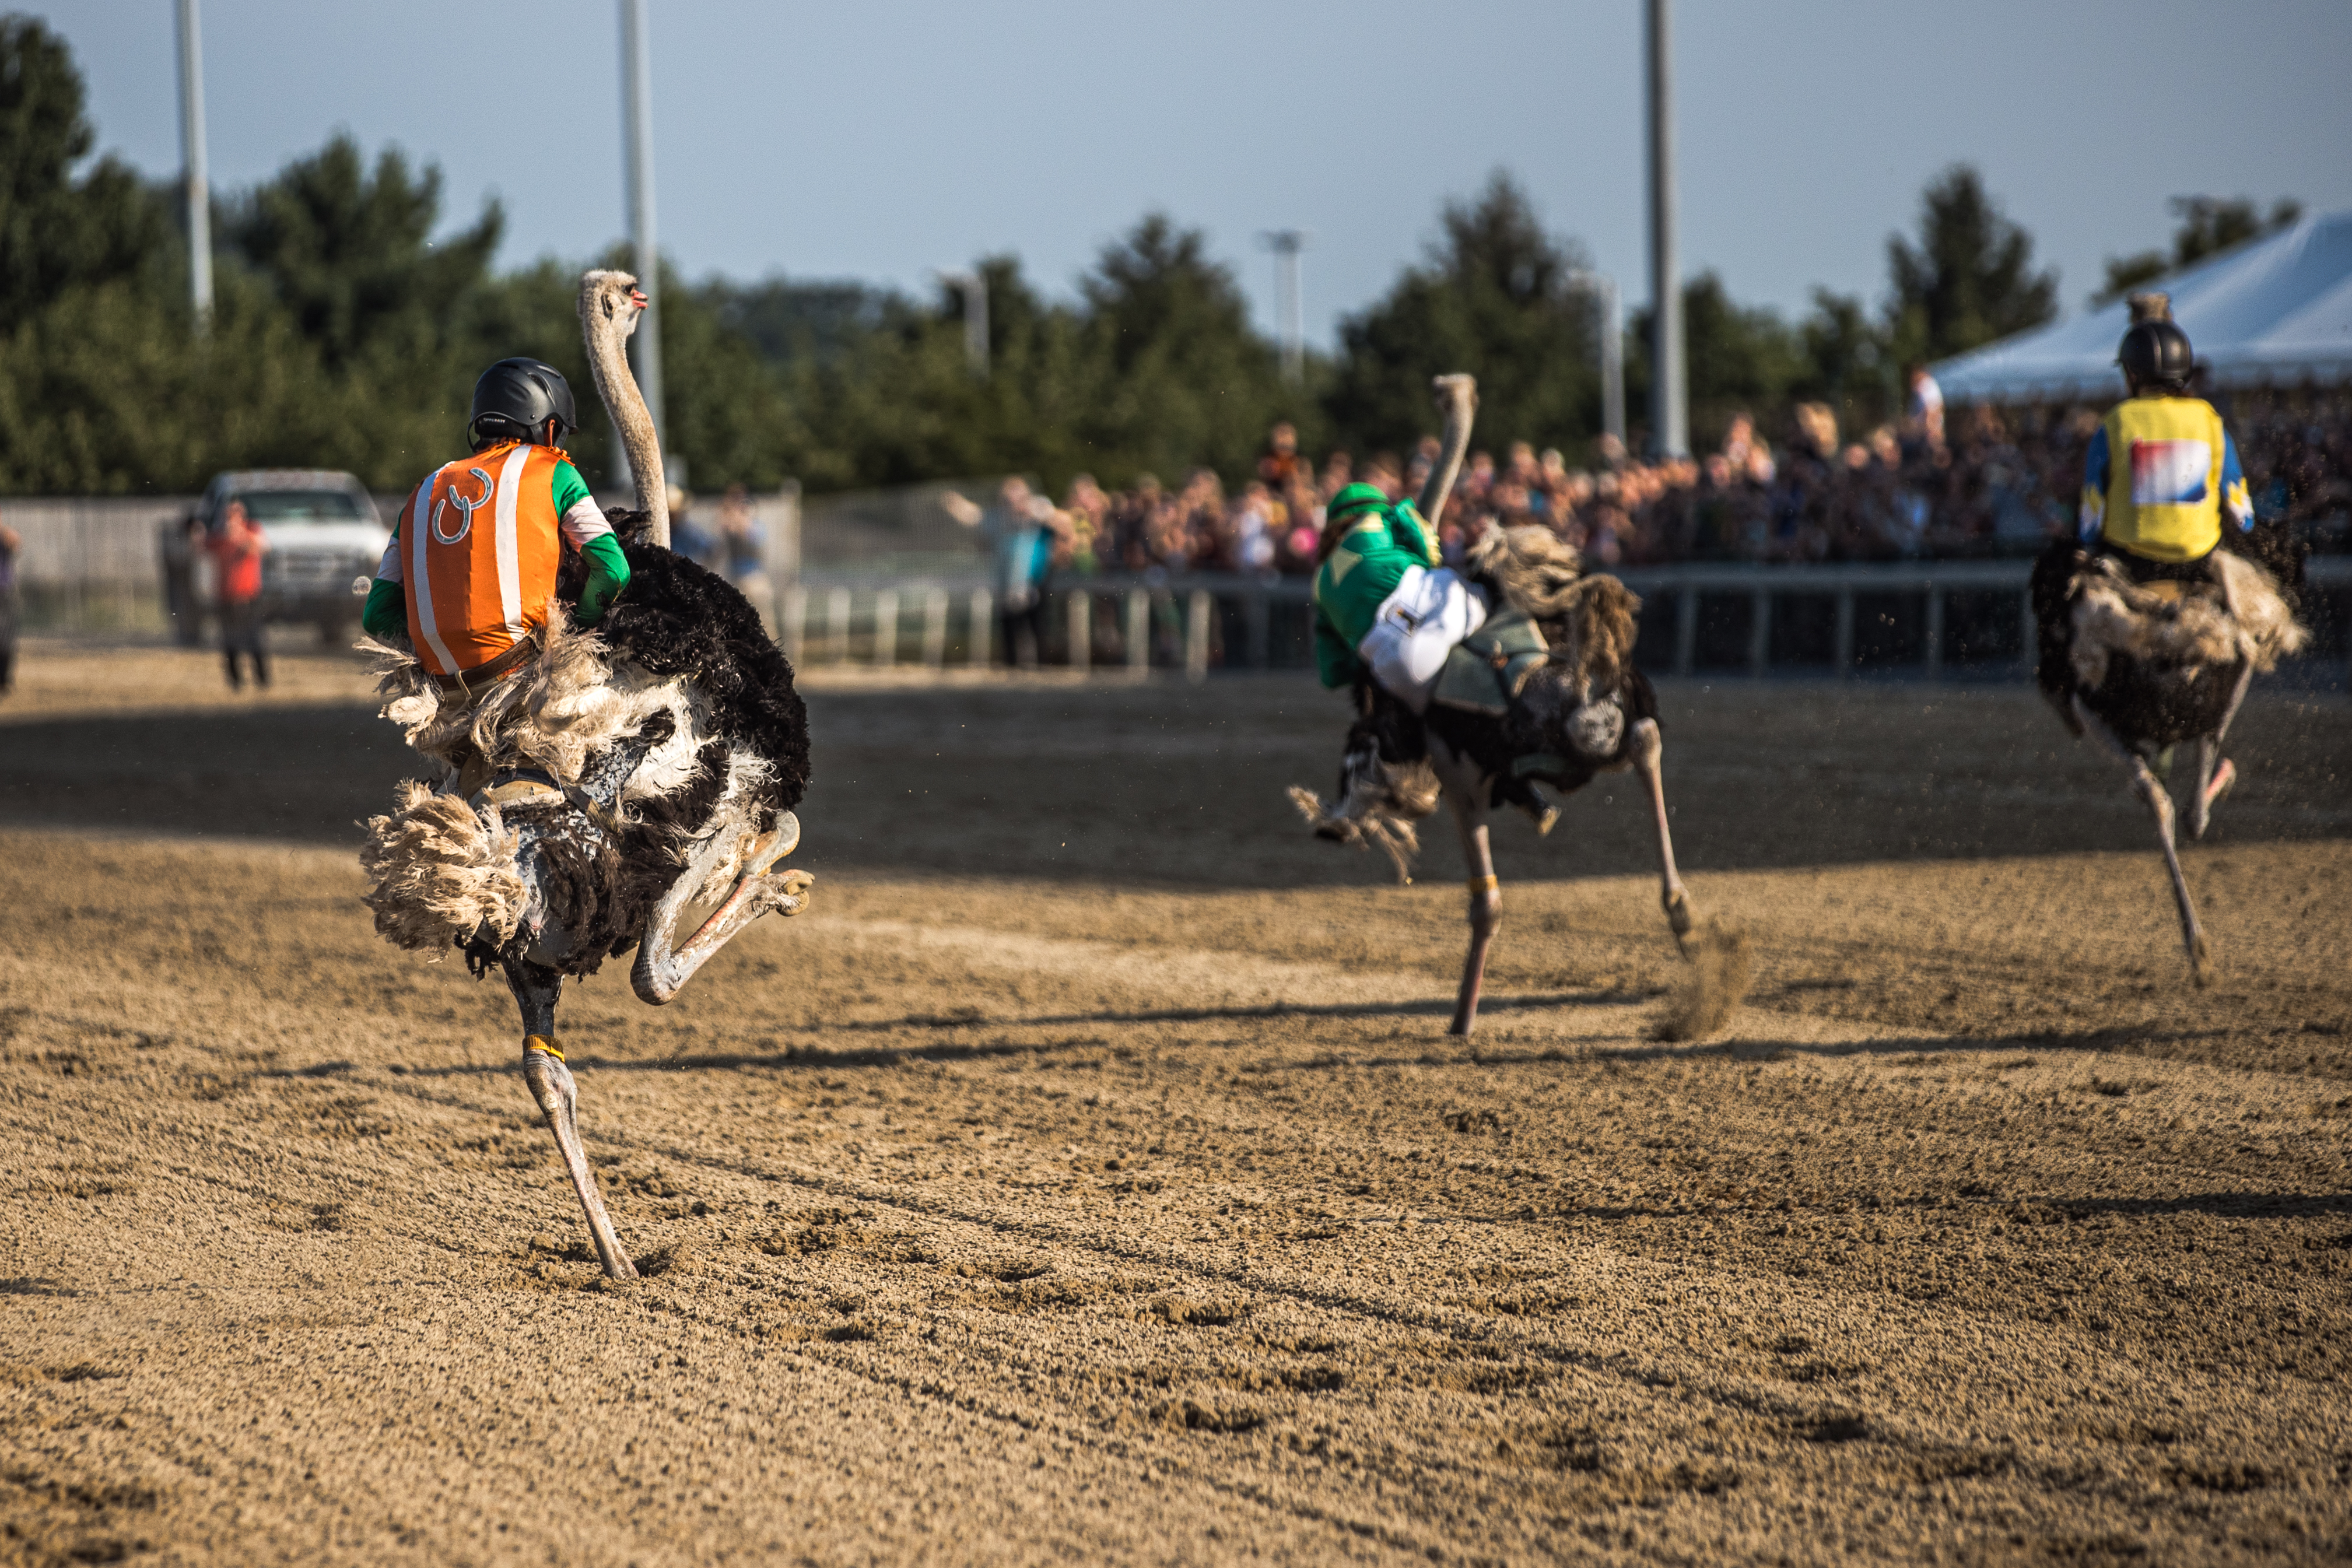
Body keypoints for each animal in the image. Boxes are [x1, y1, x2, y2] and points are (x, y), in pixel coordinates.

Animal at [358, 270, 812, 1277]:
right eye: (630, 292)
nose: (643, 300)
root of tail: (485, 864)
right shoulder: (713, 796)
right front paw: (777, 879)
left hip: (538, 939)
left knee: (543, 1065)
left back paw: (618, 1259)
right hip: (655, 817)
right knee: (656, 964)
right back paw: (777, 879)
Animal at [1292, 376, 1742, 1037]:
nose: (1444, 384)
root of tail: (1569, 699)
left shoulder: (1452, 770)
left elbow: (1486, 900)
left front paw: (1461, 1021)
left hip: (1479, 759)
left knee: (1489, 897)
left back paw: (1463, 1017)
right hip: (1591, 723)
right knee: (1643, 739)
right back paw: (1685, 925)